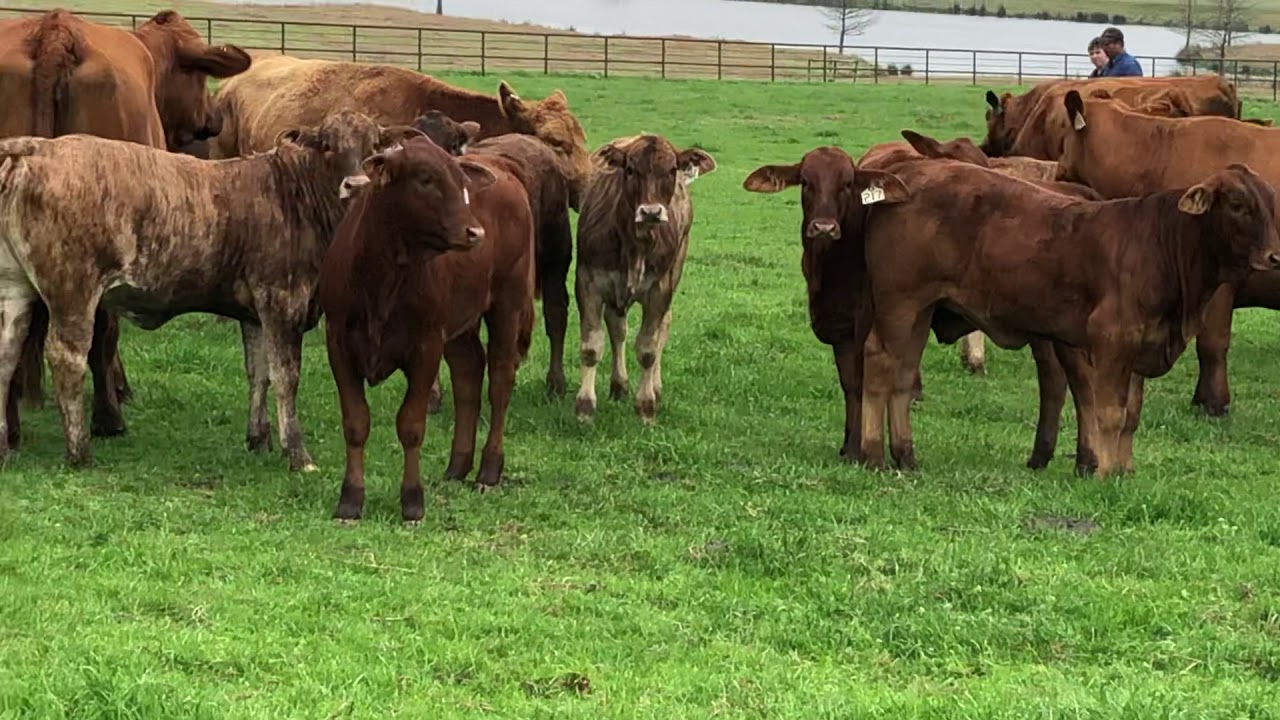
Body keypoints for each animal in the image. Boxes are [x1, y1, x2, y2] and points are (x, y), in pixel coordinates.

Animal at [0, 110, 413, 469]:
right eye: (327, 145)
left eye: (374, 146)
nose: (356, 185)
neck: (291, 197)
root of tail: (37, 146)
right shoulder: (282, 301)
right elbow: (286, 375)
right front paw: (297, 453)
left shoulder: (255, 314)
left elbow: (258, 372)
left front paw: (258, 438)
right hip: (73, 290)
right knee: (66, 356)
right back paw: (79, 452)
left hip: (14, 287)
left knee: (7, 354)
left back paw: (5, 445)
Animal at [318, 135, 536, 522]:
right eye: (425, 179)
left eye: (461, 183)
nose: (474, 232)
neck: (382, 280)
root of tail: (508, 175)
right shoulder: (339, 342)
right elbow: (356, 424)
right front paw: (350, 500)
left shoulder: (426, 346)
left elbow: (411, 425)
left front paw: (412, 502)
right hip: (460, 324)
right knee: (468, 374)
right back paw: (457, 467)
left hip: (507, 302)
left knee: (499, 380)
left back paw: (488, 471)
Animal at [573, 134, 716, 424]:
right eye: (629, 169)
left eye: (671, 169)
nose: (651, 212)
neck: (634, 245)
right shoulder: (589, 282)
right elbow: (592, 347)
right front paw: (585, 407)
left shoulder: (660, 290)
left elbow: (648, 348)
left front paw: (646, 406)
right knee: (618, 329)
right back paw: (619, 384)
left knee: (662, 329)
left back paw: (655, 388)